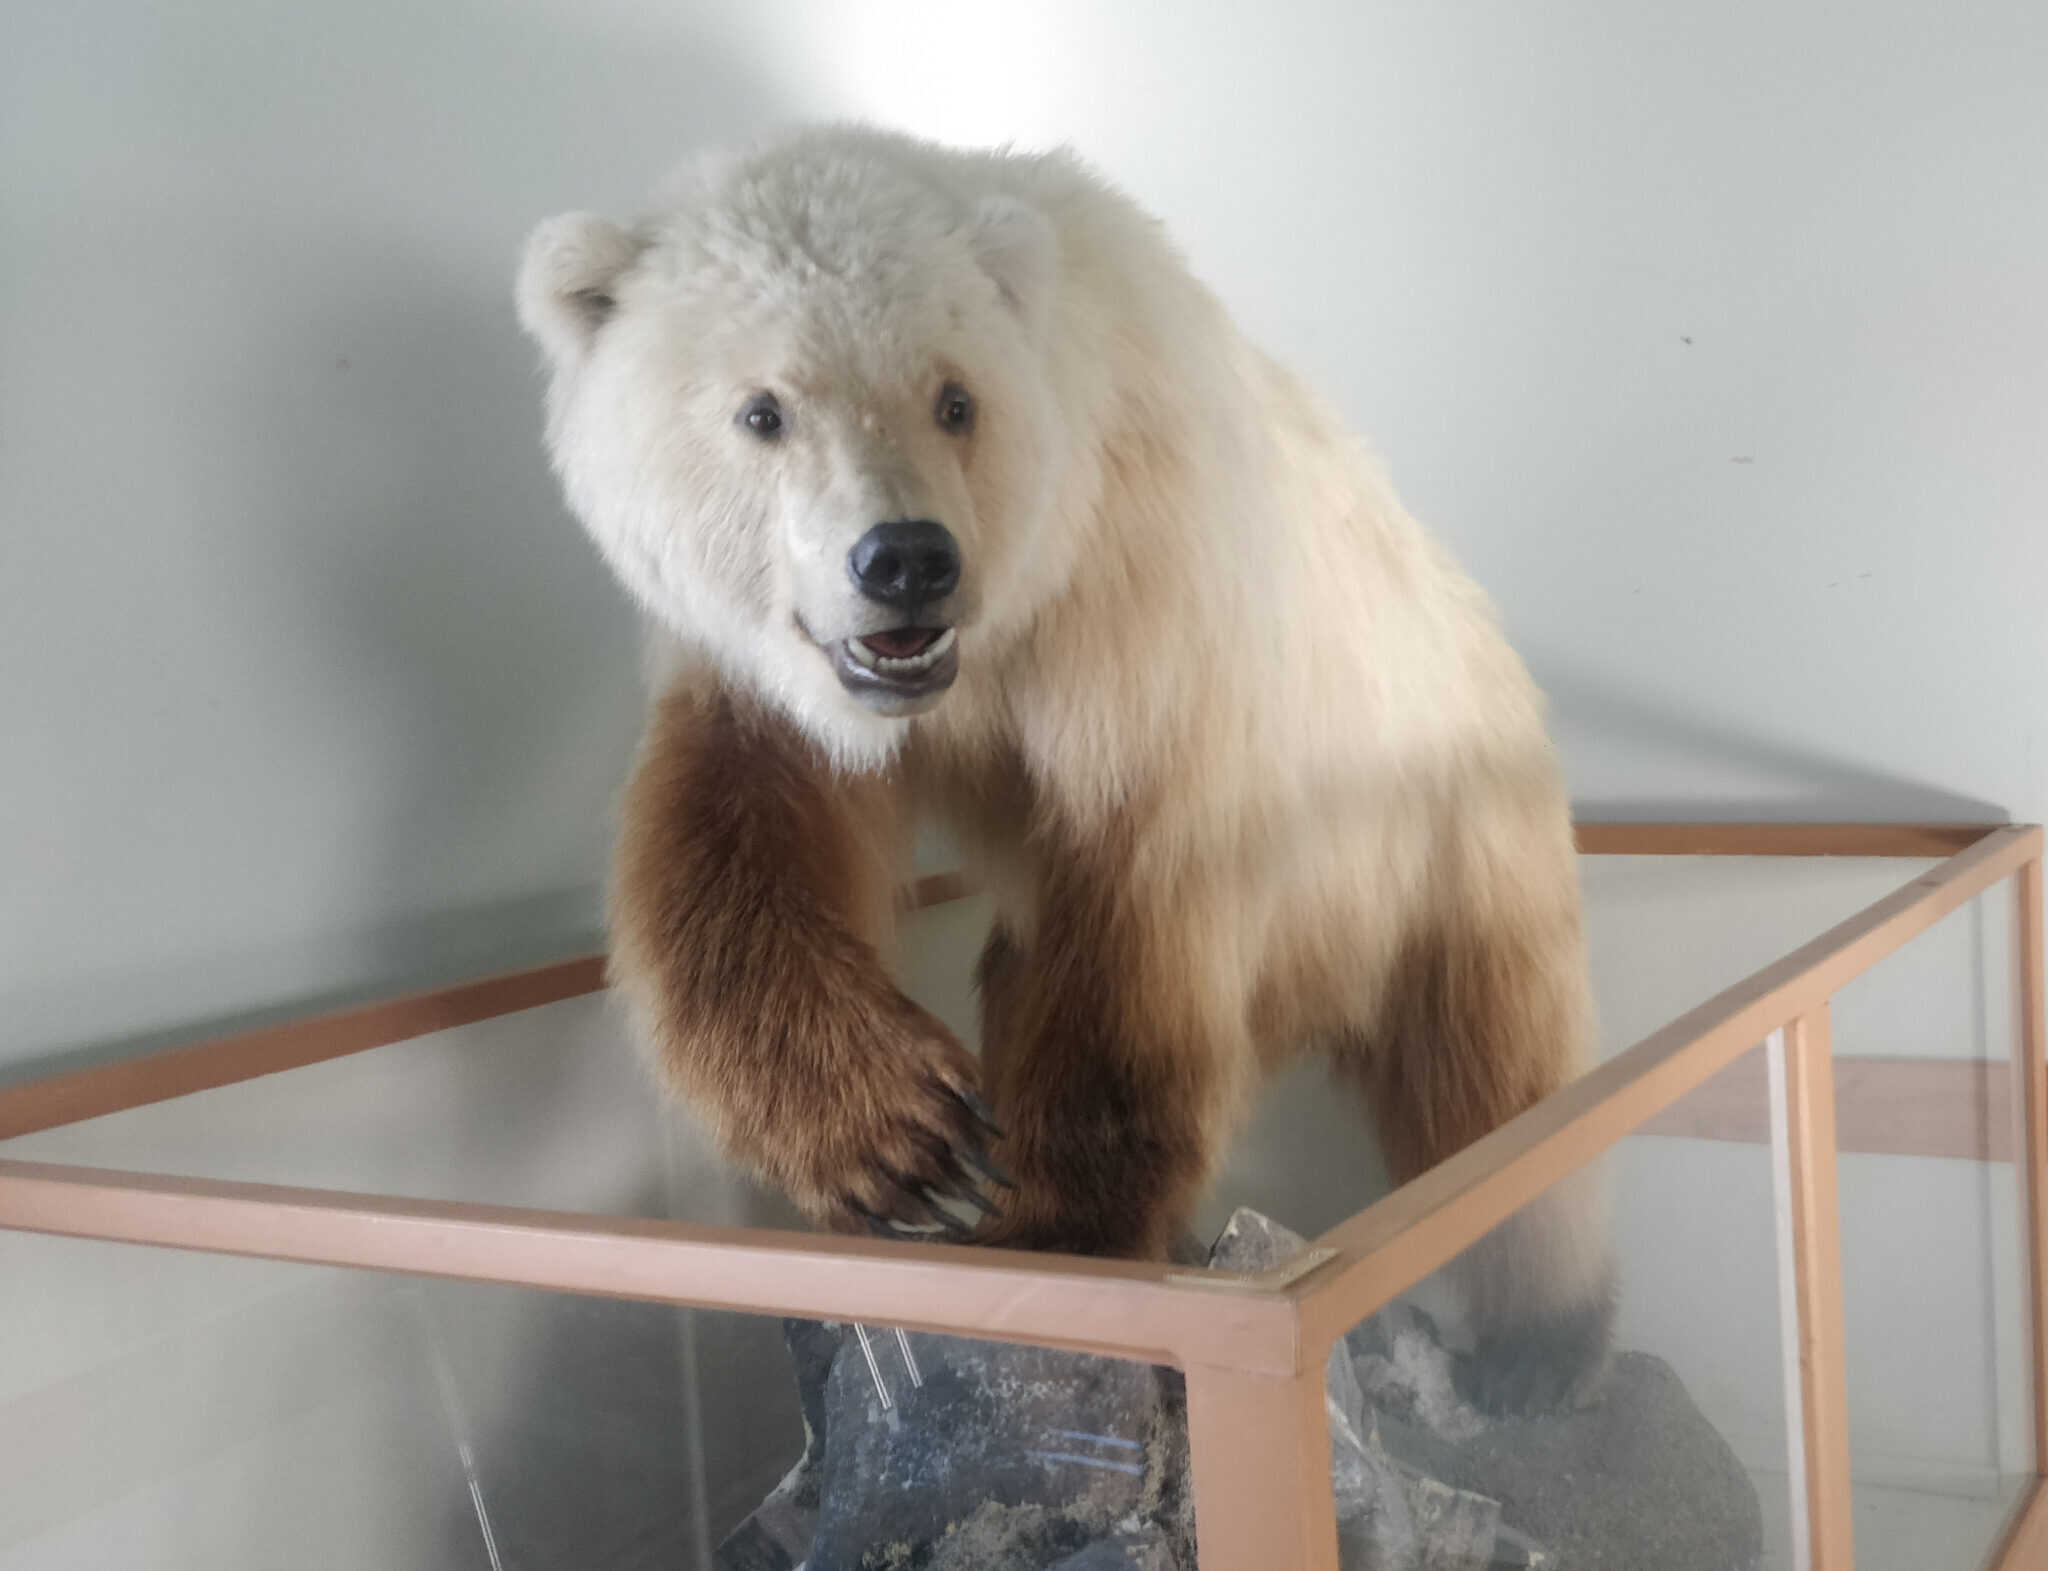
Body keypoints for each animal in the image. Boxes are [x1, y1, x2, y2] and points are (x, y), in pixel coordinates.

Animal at [516, 125, 1613, 1411]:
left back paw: (1542, 1340)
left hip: (1447, 826)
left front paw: (1052, 1236)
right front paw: (909, 1138)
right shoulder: (763, 685)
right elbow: (732, 847)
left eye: (953, 397)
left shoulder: (1142, 621)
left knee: (1499, 1078)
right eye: (761, 409)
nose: (905, 559)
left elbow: (1134, 916)